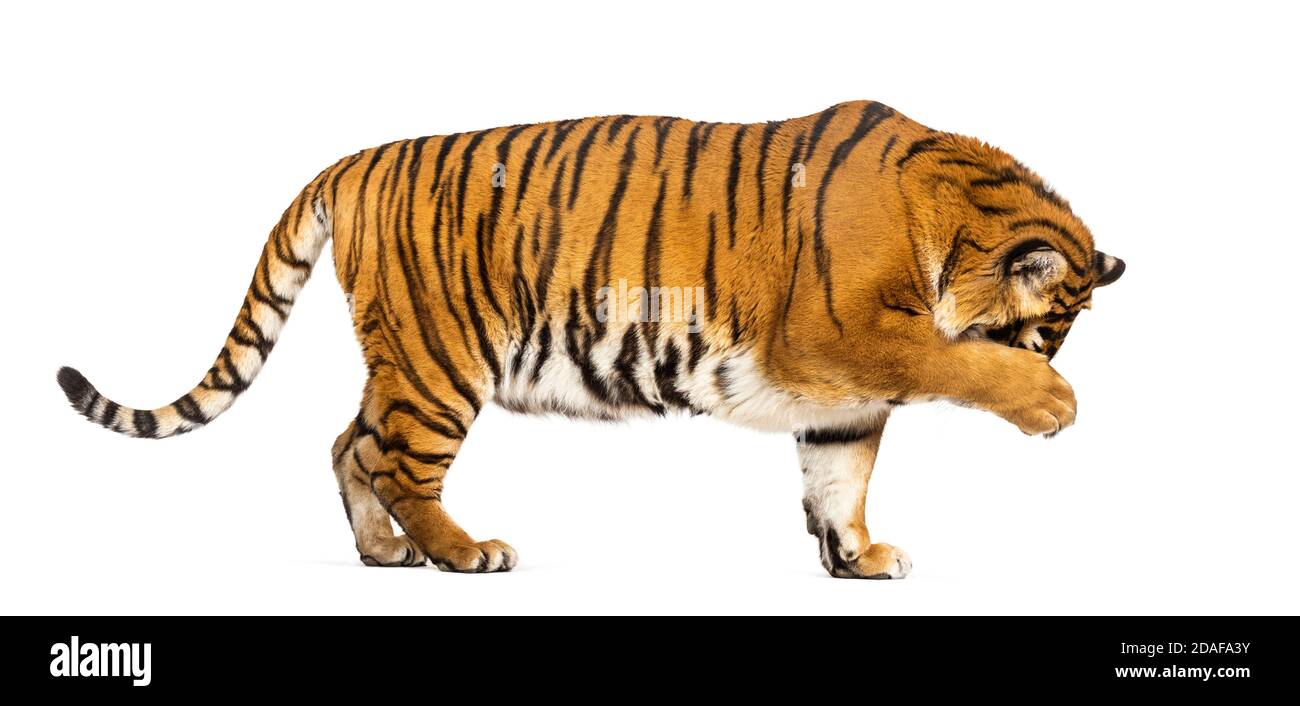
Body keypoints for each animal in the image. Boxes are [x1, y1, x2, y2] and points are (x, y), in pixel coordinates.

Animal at [57, 100, 1124, 579]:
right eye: (1041, 341)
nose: (1051, 374)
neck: (946, 223)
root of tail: (353, 160)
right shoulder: (836, 335)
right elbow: (951, 359)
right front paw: (1050, 405)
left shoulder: (839, 396)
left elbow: (839, 480)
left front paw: (856, 560)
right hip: (440, 361)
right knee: (398, 459)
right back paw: (463, 551)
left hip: (401, 356)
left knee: (347, 442)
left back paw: (383, 552)